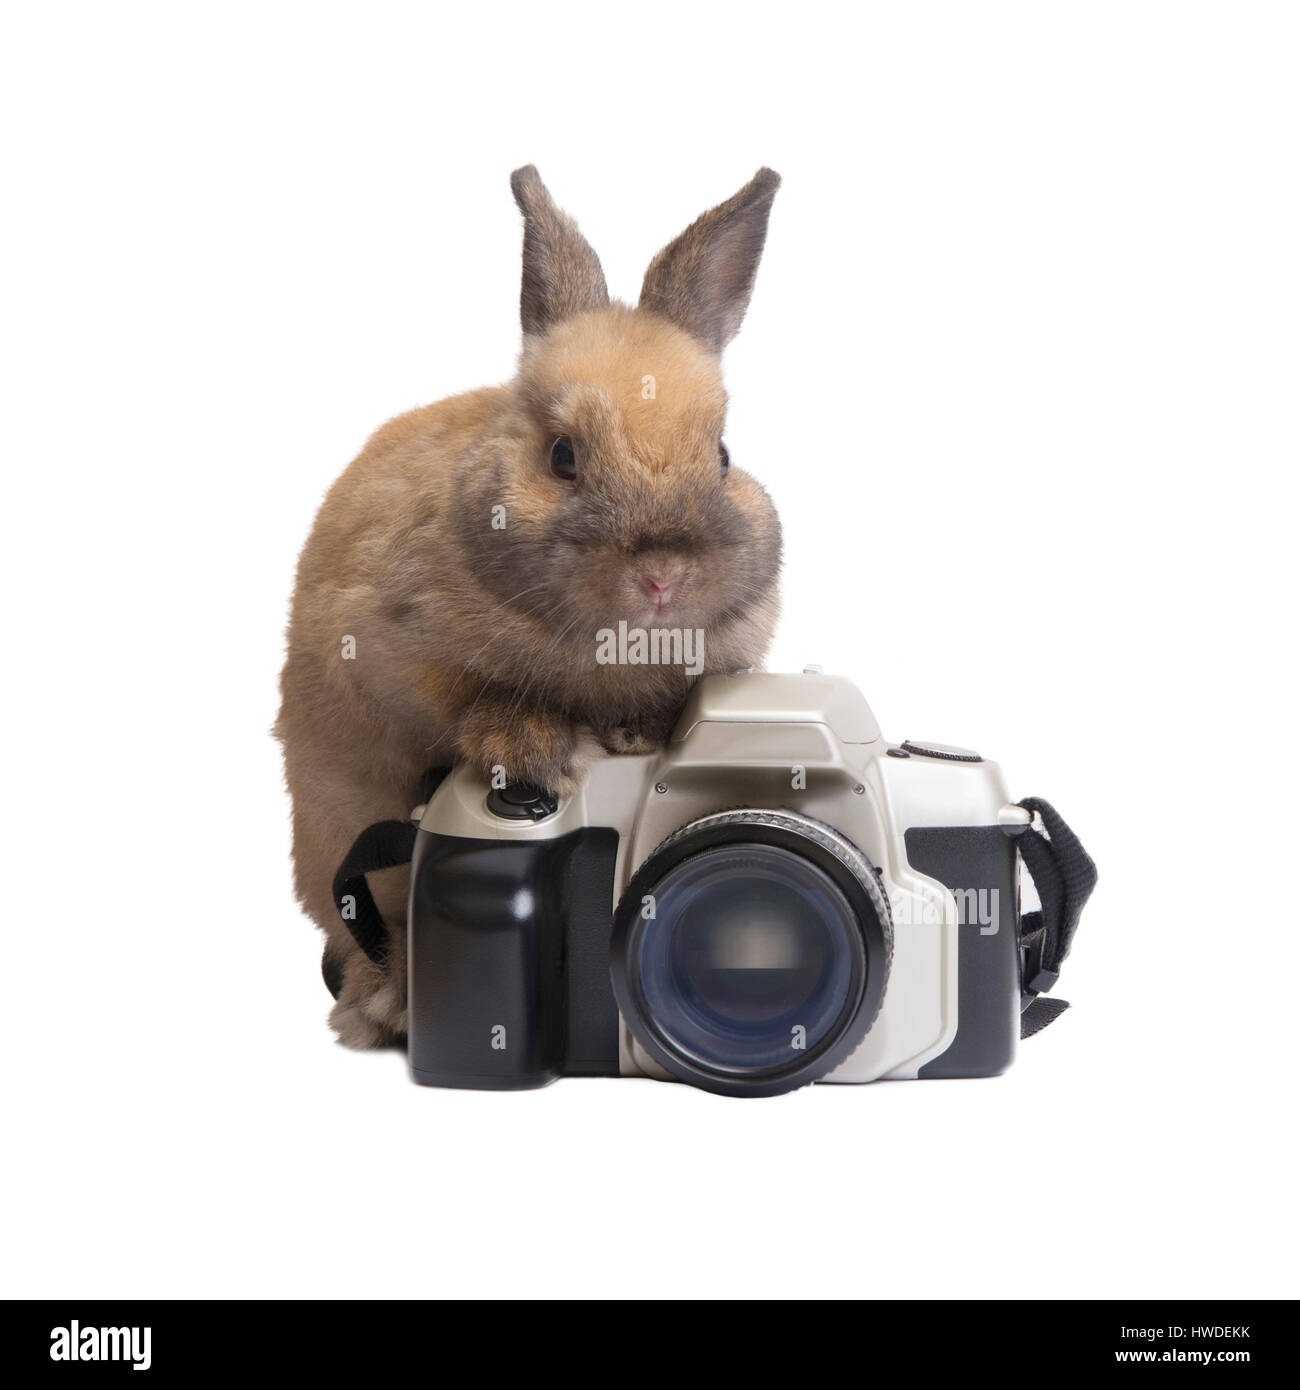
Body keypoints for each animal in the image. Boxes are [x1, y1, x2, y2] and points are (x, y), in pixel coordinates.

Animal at [276, 166, 784, 1047]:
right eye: (563, 456)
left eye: (722, 456)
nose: (662, 575)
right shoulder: (393, 662)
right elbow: (477, 700)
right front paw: (539, 747)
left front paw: (638, 734)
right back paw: (385, 1006)